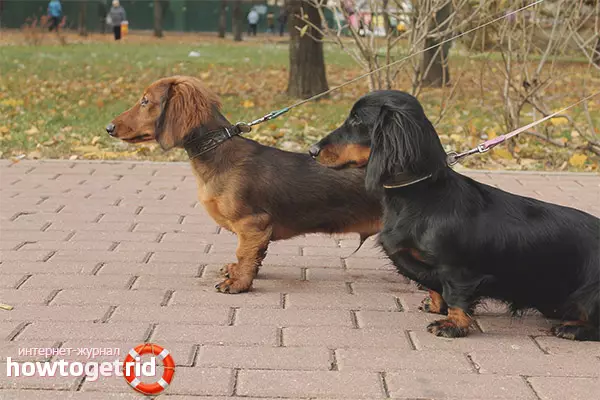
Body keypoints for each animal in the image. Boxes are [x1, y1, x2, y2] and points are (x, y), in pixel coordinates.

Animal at [105, 76, 382, 294]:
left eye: (145, 101)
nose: (108, 127)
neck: (217, 152)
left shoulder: (253, 223)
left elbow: (244, 252)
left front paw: (238, 283)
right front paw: (237, 272)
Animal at [310, 90, 600, 340]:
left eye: (357, 119)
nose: (312, 151)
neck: (421, 196)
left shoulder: (457, 269)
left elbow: (455, 294)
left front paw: (452, 324)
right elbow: (435, 287)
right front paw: (436, 306)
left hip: (589, 295)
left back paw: (572, 328)